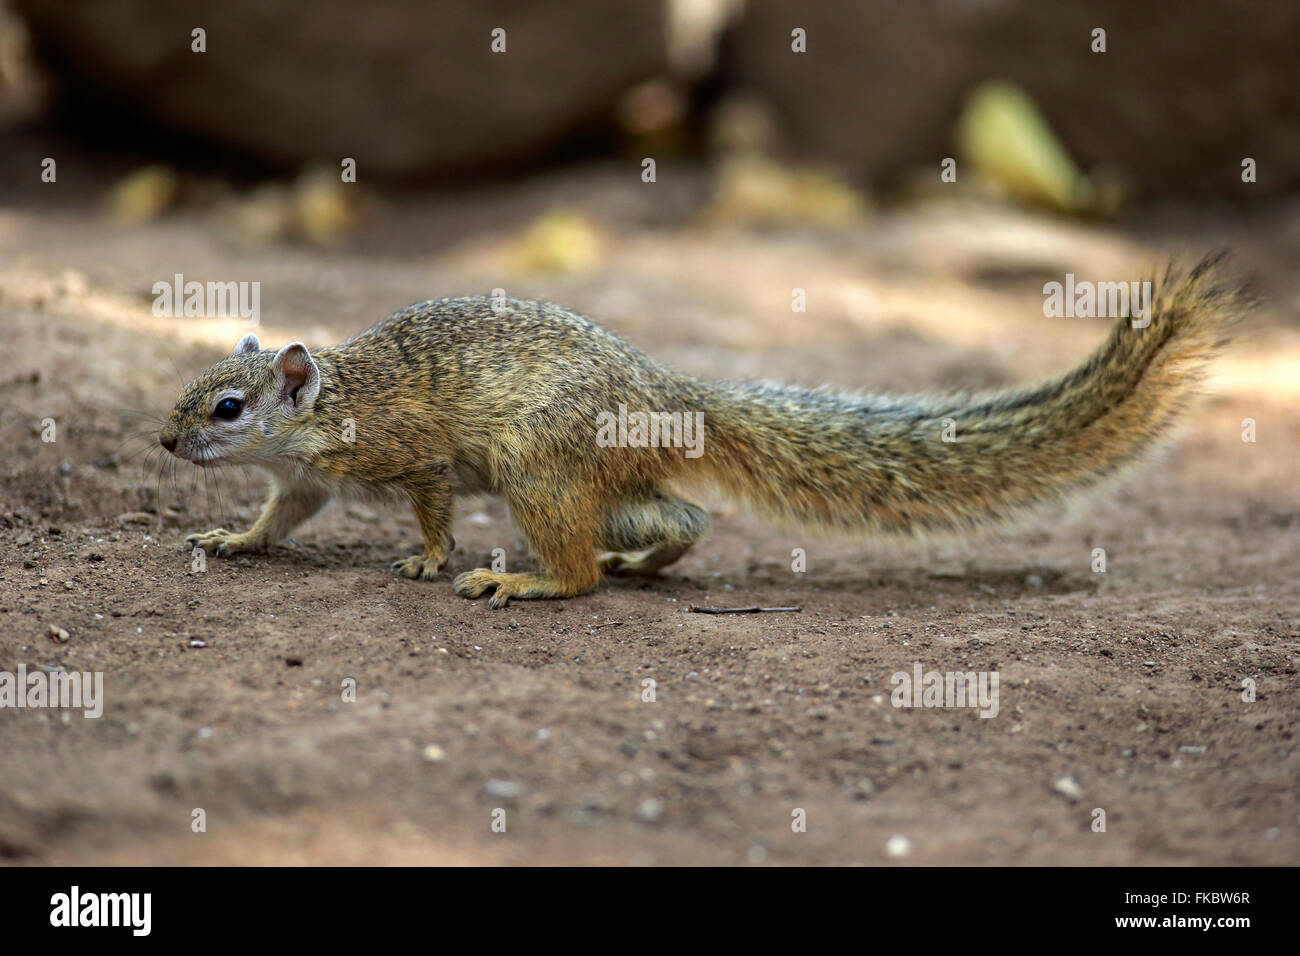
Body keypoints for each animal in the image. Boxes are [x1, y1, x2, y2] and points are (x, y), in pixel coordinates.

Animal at [160, 255, 1245, 608]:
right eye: (194, 387)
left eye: (227, 407)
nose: (167, 445)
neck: (326, 407)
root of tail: (669, 390)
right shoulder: (306, 480)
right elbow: (280, 517)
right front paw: (233, 537)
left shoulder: (408, 451)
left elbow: (428, 506)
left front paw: (428, 559)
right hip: (596, 484)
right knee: (682, 520)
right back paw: (642, 562)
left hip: (538, 471)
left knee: (584, 573)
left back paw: (527, 580)